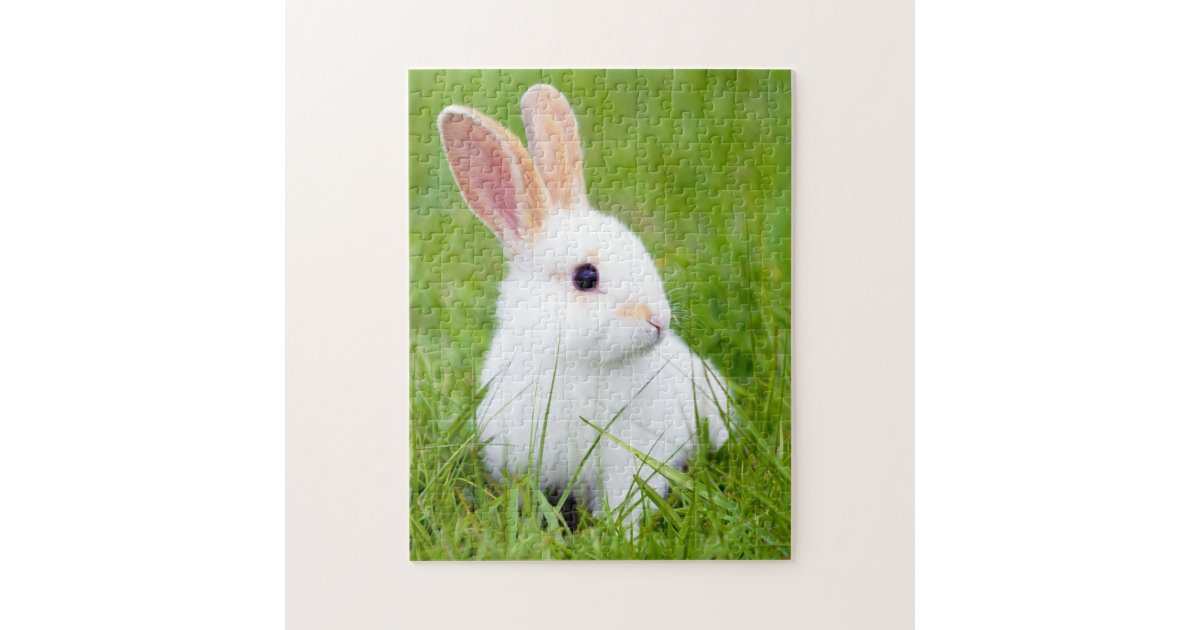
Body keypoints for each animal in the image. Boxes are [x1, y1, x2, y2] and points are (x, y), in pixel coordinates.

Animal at [436, 84, 730, 532]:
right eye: (586, 278)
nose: (658, 320)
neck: (572, 361)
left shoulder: (631, 456)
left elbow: (627, 499)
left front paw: (620, 535)